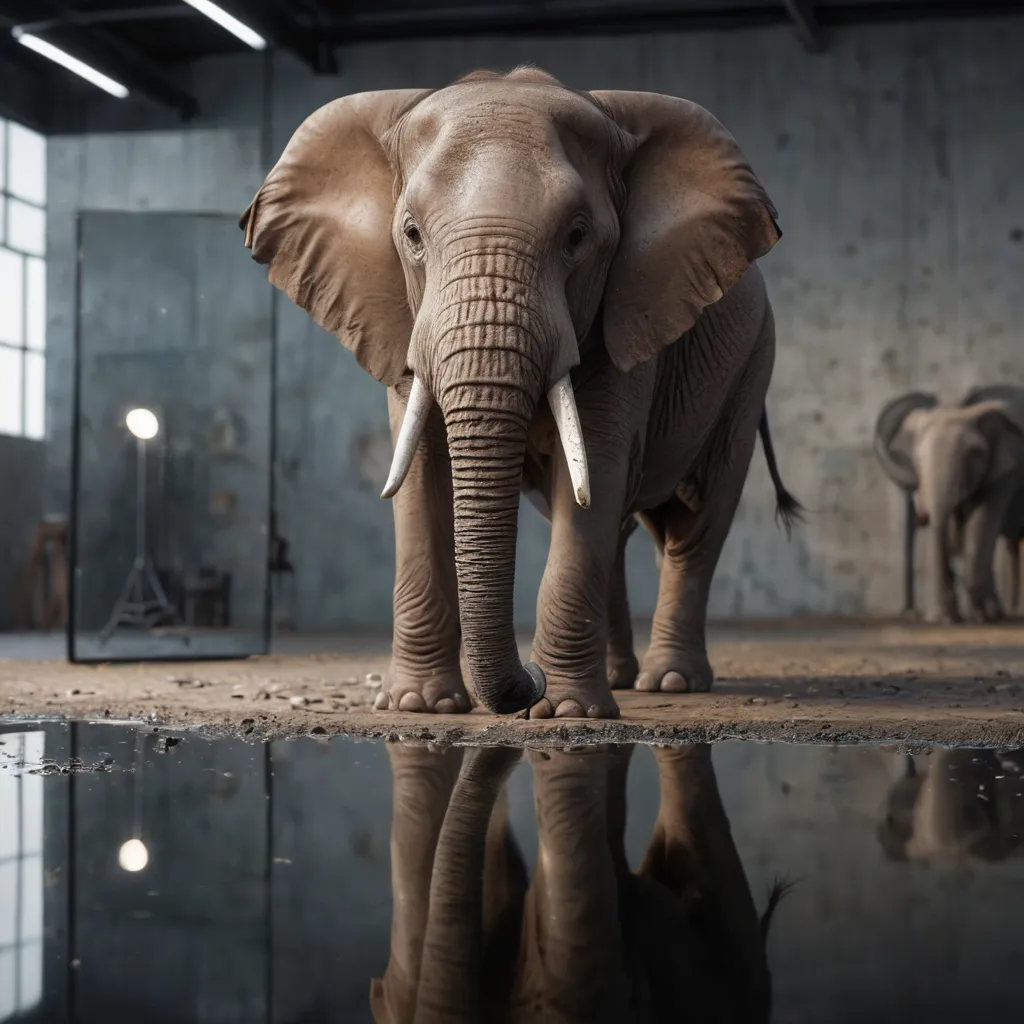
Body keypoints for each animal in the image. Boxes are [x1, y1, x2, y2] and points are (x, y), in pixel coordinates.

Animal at [241, 66, 800, 718]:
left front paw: (564, 713)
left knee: (695, 524)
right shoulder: (402, 321)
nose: (526, 680)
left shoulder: (626, 314)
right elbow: (421, 474)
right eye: (411, 234)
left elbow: (595, 467)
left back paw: (670, 683)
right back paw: (621, 678)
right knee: (622, 532)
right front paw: (420, 706)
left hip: (753, 363)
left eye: (578, 236)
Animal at [873, 386, 1024, 622]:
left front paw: (985, 616)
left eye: (973, 454)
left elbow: (982, 523)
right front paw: (954, 618)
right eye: (917, 460)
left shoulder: (1007, 469)